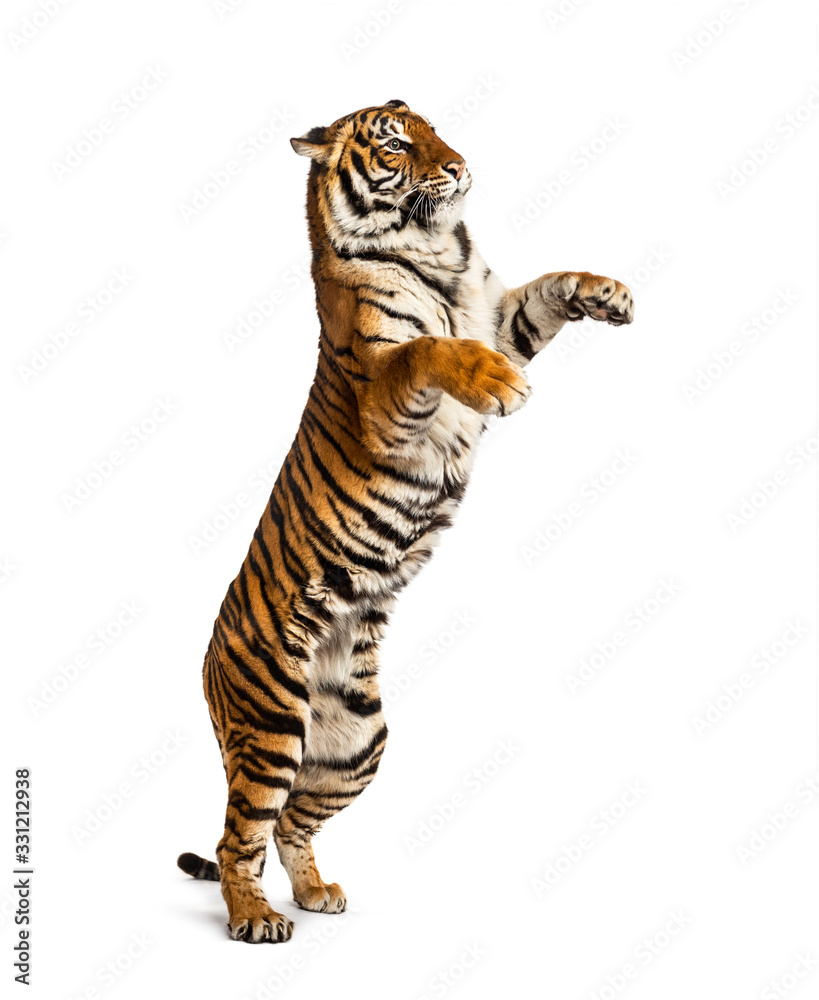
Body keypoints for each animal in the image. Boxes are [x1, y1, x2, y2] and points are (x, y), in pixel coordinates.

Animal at [177, 99, 634, 943]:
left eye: (431, 127)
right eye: (395, 143)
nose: (458, 164)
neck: (436, 250)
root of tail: (206, 662)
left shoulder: (500, 316)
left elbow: (545, 287)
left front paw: (605, 291)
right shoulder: (388, 398)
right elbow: (429, 349)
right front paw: (497, 385)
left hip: (356, 743)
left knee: (290, 824)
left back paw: (314, 893)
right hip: (268, 726)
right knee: (238, 836)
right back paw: (254, 916)